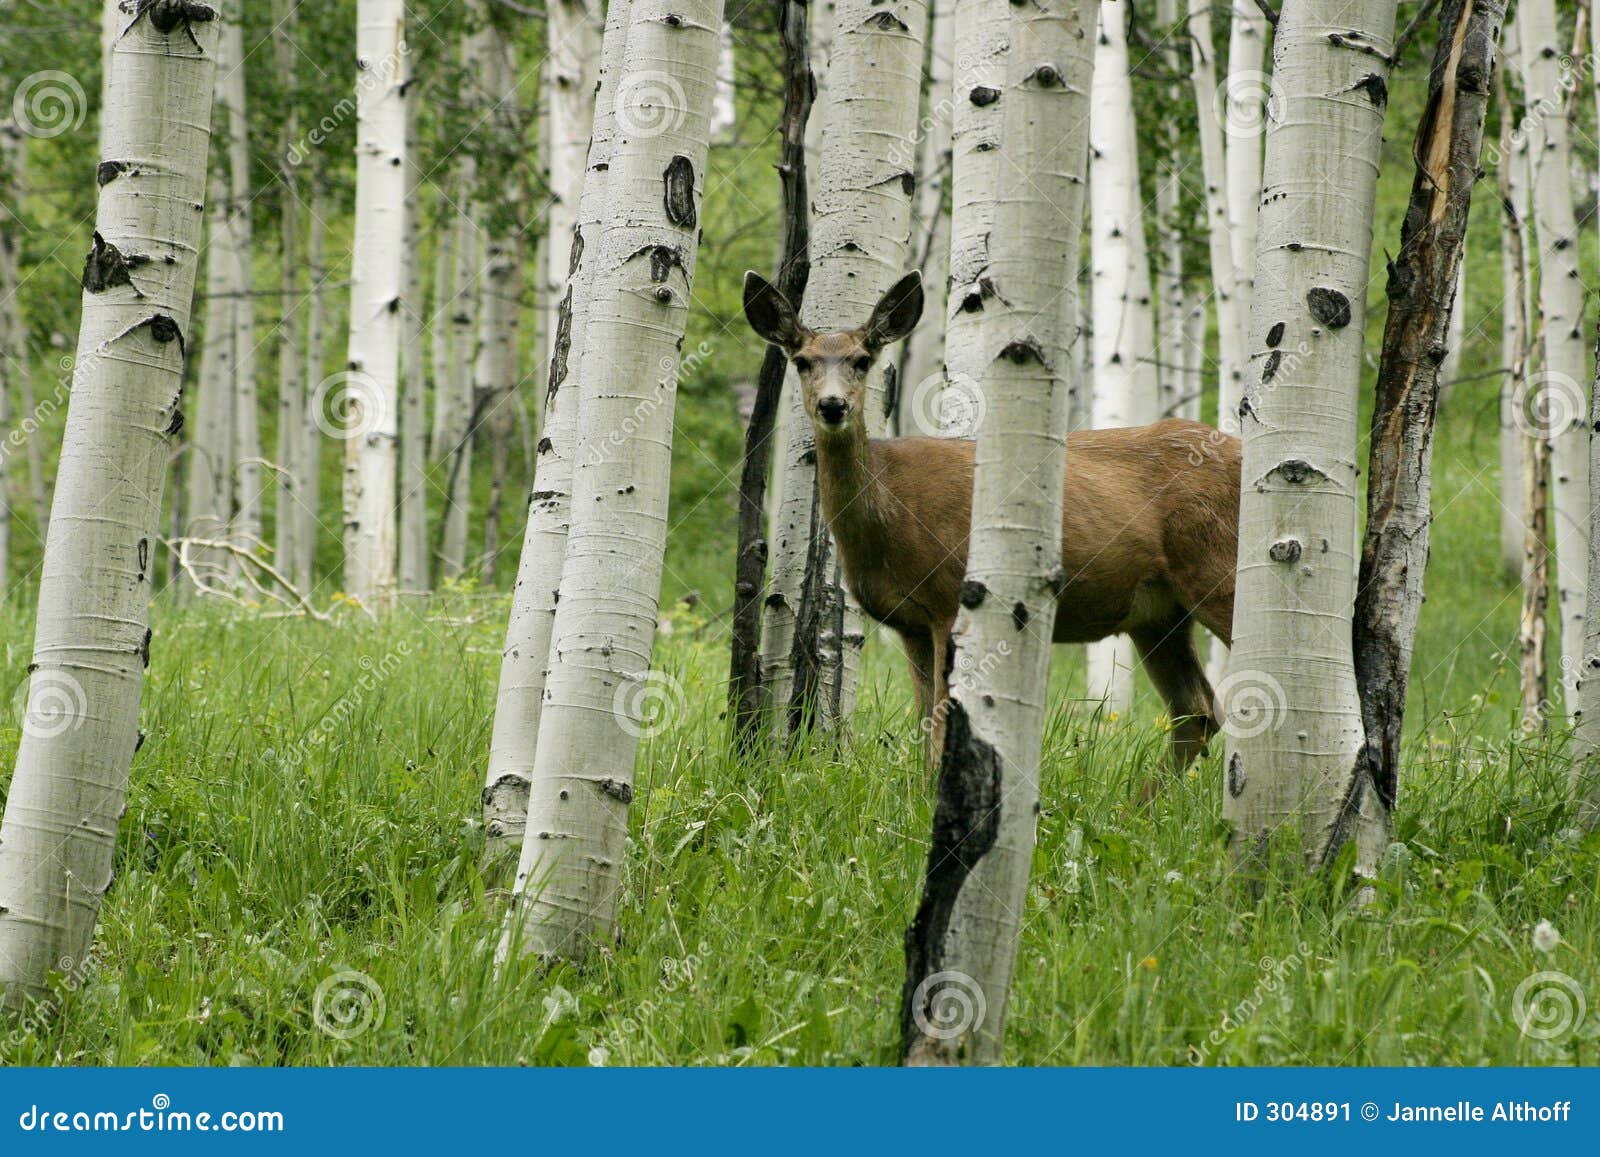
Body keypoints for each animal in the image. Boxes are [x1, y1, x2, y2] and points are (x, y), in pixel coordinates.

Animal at [743, 268, 1242, 780]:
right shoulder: (910, 623)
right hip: (1159, 612)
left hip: (1219, 568)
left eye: (863, 360)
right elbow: (924, 725)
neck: (892, 513)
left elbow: (941, 728)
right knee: (1197, 710)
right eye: (802, 361)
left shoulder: (948, 598)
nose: (833, 405)